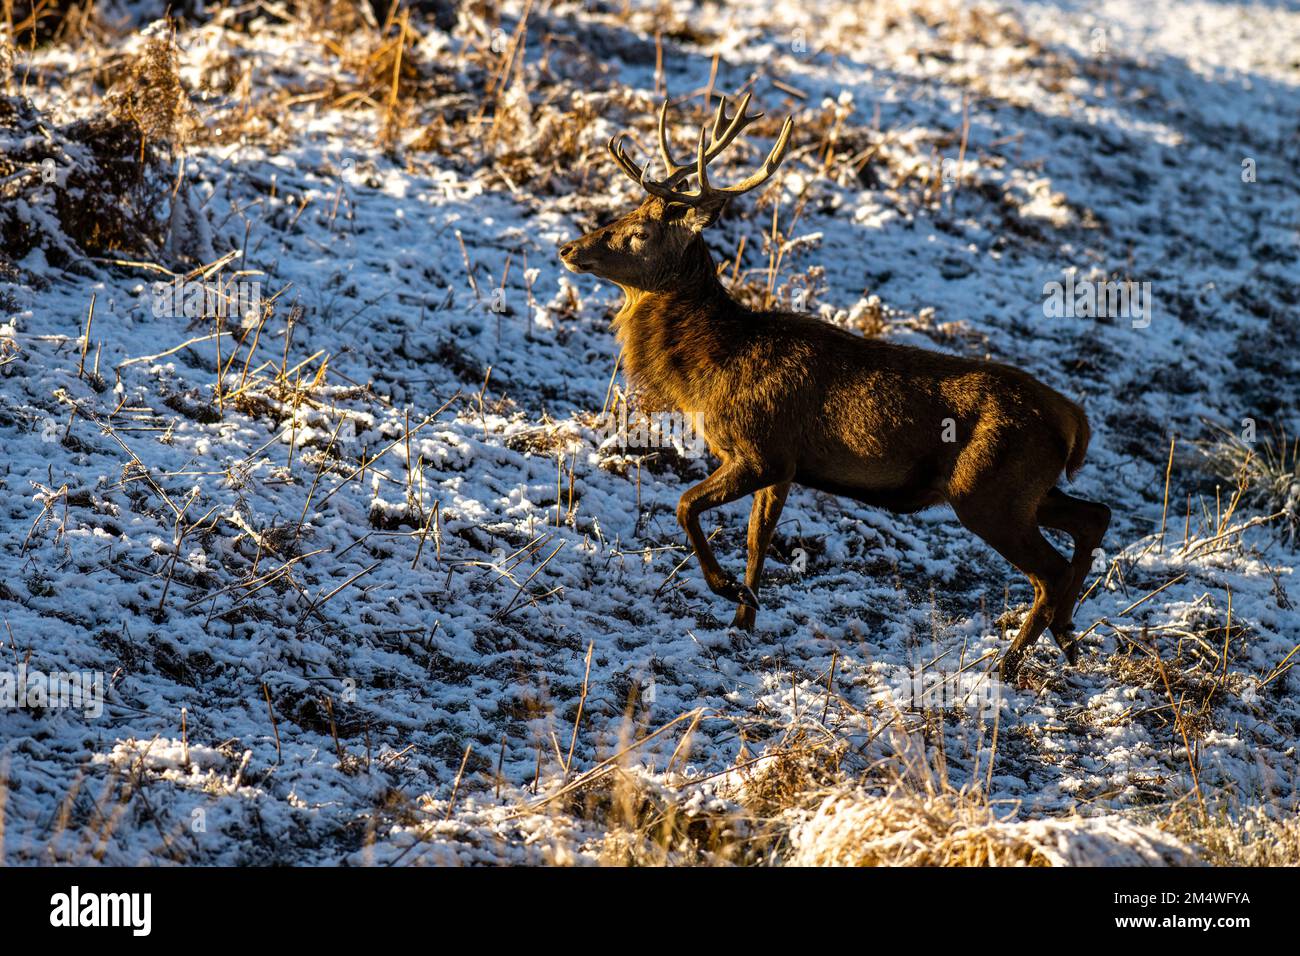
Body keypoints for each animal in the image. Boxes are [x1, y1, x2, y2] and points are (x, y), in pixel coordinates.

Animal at [559, 94, 1111, 681]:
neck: (711, 368)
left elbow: (687, 505)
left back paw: (1009, 663)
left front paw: (726, 590)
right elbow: (757, 541)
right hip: (1028, 489)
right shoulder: (784, 467)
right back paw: (1068, 636)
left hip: (986, 491)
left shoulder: (761, 450)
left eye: (640, 232)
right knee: (1093, 518)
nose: (570, 247)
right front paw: (744, 620)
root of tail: (1073, 422)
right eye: (623, 213)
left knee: (1049, 568)